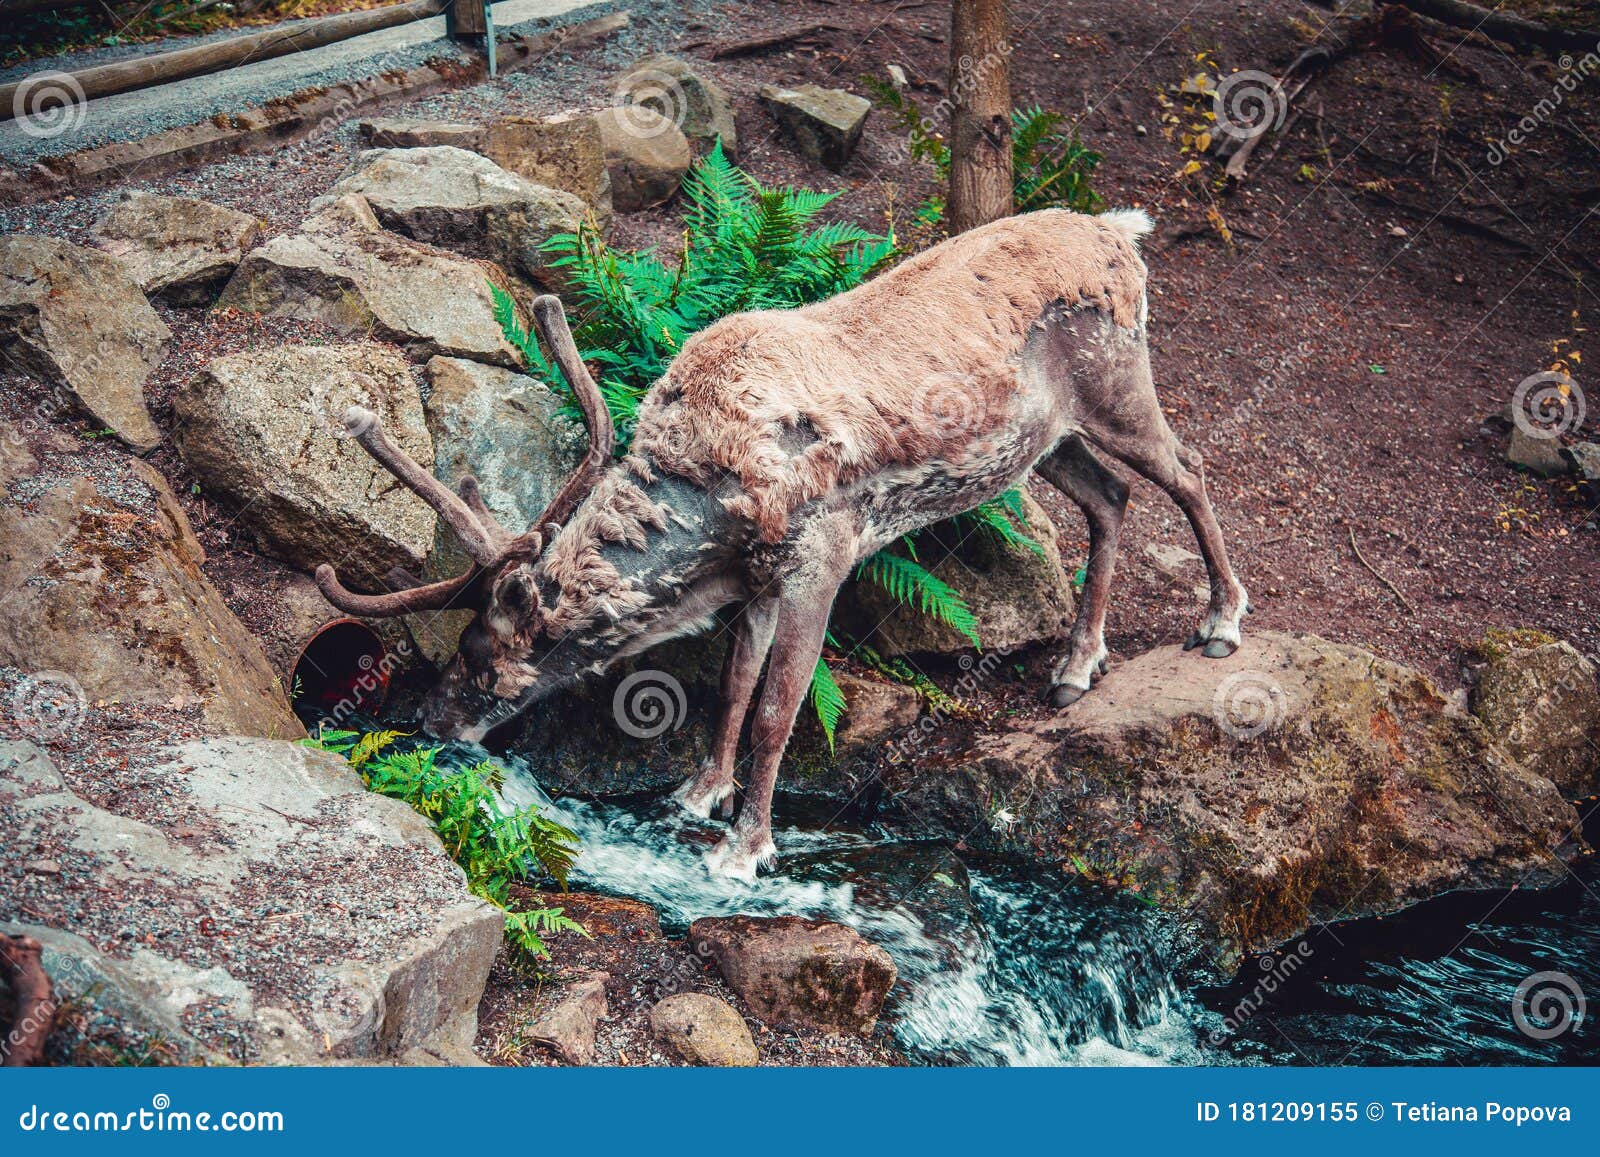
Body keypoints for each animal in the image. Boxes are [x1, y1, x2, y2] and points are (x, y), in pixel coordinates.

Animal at [314, 208, 1250, 881]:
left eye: (479, 652)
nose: (429, 720)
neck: (710, 515)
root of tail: (1124, 232)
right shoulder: (754, 579)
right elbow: (732, 687)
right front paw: (699, 795)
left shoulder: (819, 558)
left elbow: (778, 707)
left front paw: (746, 847)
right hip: (1044, 438)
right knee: (1114, 497)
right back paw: (1076, 664)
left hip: (1117, 377)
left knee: (1190, 469)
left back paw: (1220, 622)